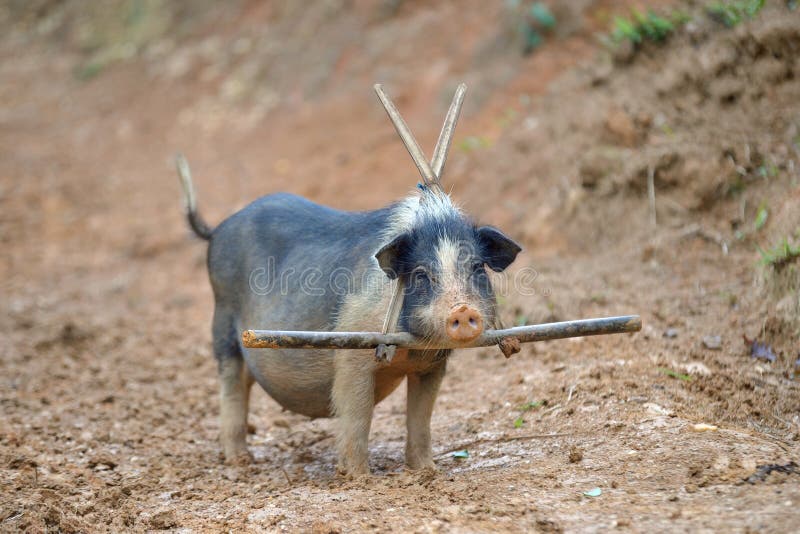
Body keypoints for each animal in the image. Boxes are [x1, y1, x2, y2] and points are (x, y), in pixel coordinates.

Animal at [176, 87, 521, 475]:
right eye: (420, 273)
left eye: (477, 267)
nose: (462, 310)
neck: (409, 345)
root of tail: (219, 228)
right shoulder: (352, 351)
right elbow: (357, 416)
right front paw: (360, 477)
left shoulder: (433, 363)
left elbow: (420, 417)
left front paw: (427, 471)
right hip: (222, 321)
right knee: (230, 385)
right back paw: (240, 461)